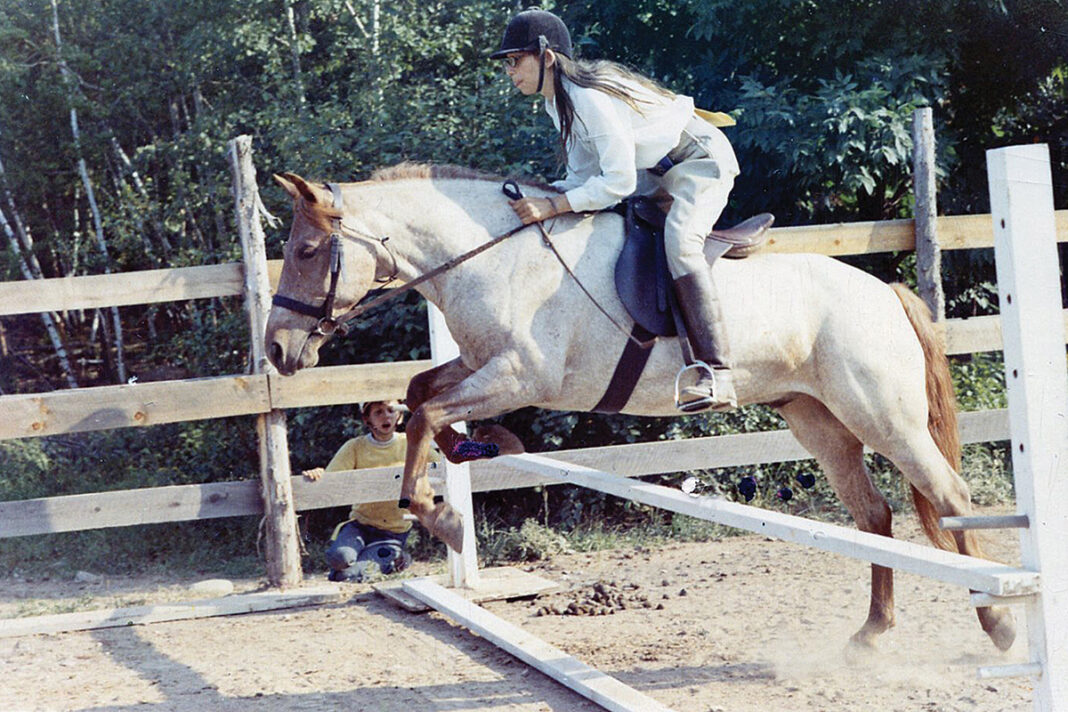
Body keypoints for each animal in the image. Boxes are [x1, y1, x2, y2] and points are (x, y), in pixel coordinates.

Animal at [265, 163, 1014, 652]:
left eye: (305, 249)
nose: (276, 350)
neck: (494, 258)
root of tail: (885, 290)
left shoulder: (520, 375)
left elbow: (424, 413)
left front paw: (442, 518)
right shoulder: (483, 367)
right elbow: (423, 396)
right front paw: (472, 457)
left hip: (883, 416)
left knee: (949, 496)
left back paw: (1000, 621)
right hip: (818, 420)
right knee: (874, 515)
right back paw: (874, 631)